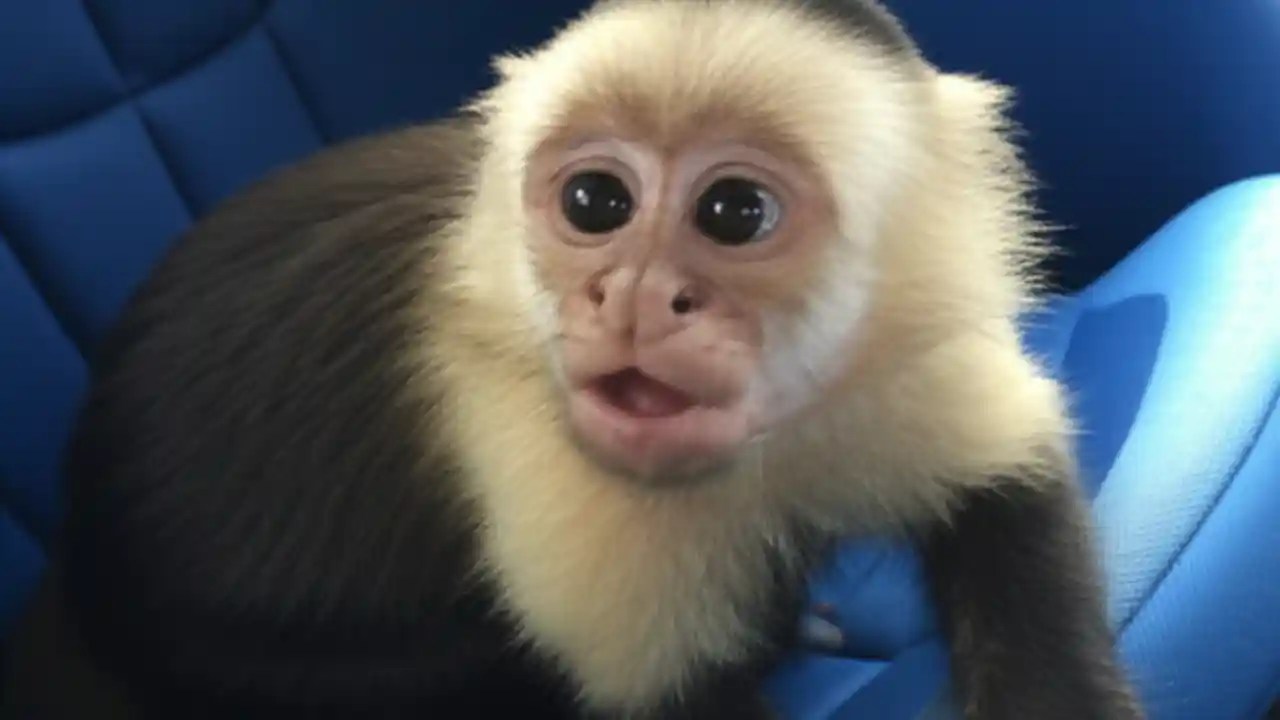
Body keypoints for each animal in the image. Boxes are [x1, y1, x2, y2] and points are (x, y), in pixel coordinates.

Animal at [0, 1, 1146, 718]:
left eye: (734, 212)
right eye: (596, 203)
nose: (633, 297)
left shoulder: (901, 350)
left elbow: (1005, 484)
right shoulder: (528, 442)